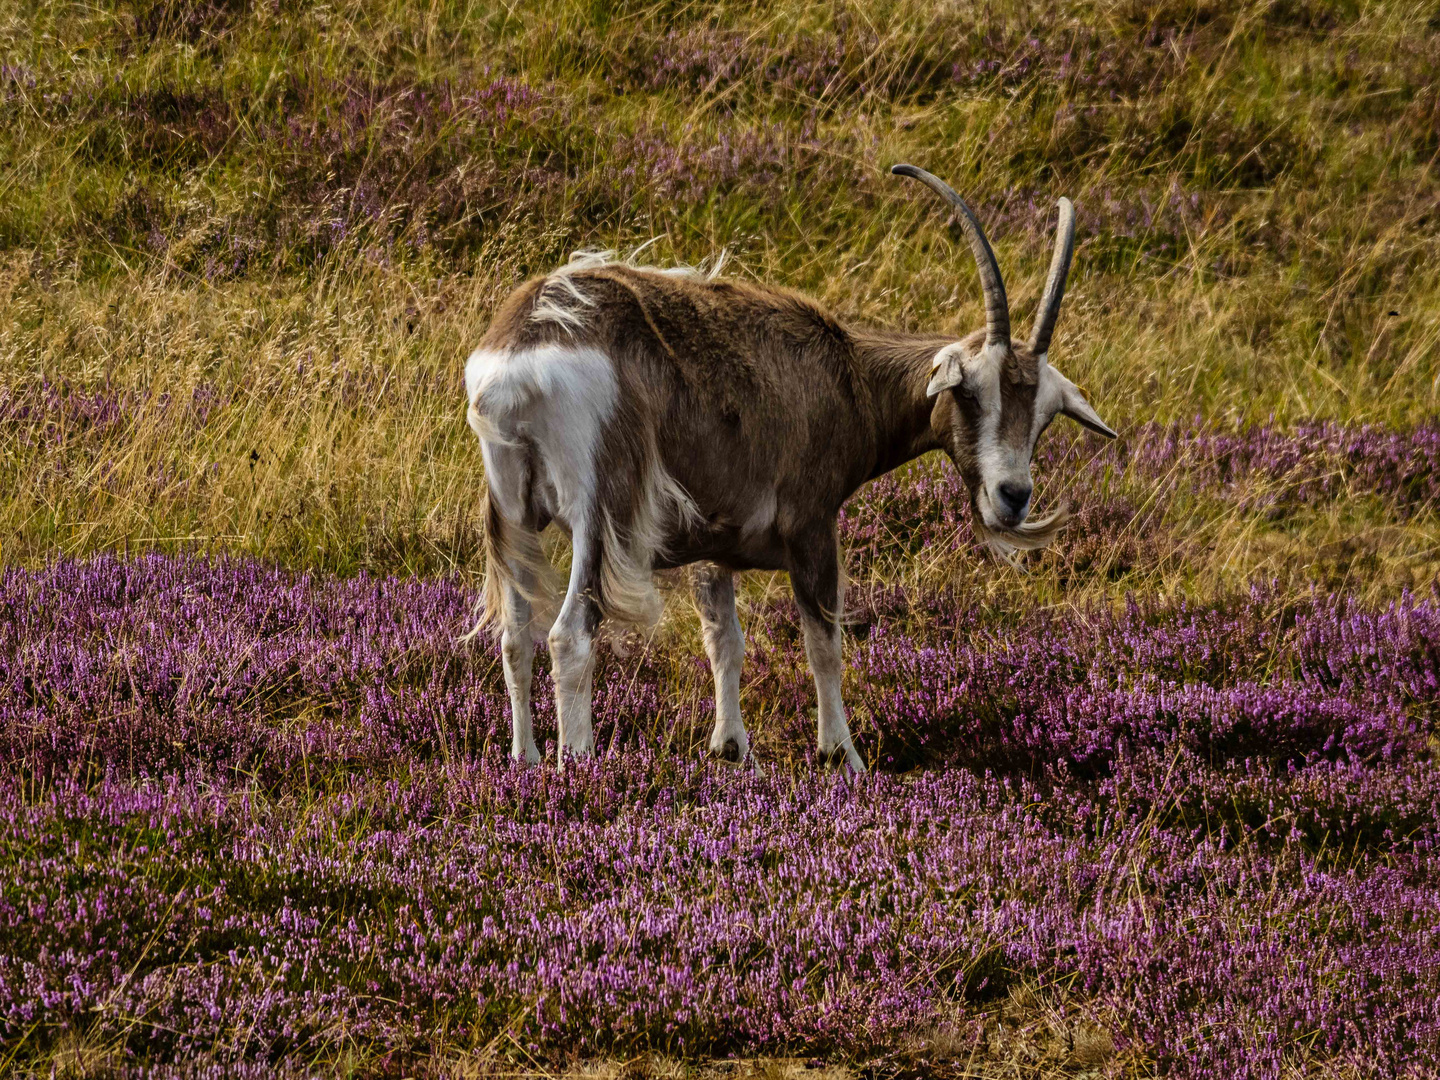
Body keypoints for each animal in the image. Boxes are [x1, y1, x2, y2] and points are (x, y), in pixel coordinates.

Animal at [464, 165, 1116, 771]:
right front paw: (842, 755)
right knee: (570, 633)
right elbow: (823, 641)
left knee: (515, 634)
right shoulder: (811, 527)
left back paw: (526, 761)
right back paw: (578, 766)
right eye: (971, 393)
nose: (1013, 497)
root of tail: (520, 357)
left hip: (513, 512)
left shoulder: (712, 547)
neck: (846, 376)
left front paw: (731, 748)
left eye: (1045, 414)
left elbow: (724, 640)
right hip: (602, 516)